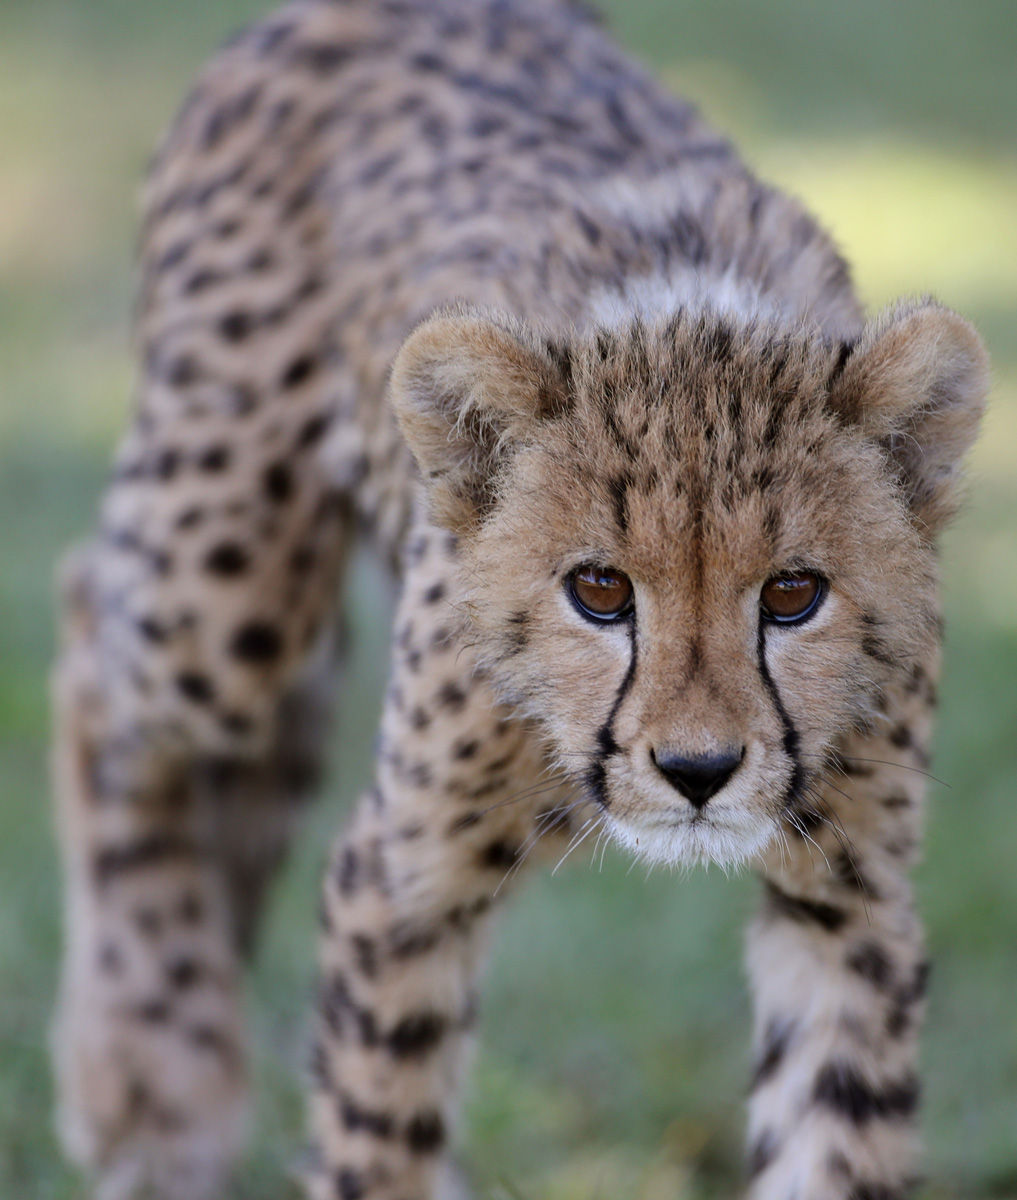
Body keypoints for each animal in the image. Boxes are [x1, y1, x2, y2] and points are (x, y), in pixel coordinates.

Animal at [50, 0, 989, 1198]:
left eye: (793, 594)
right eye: (599, 590)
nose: (697, 773)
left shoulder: (850, 898)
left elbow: (834, 1131)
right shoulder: (402, 875)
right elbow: (381, 1133)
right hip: (223, 573)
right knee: (97, 643)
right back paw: (151, 1081)